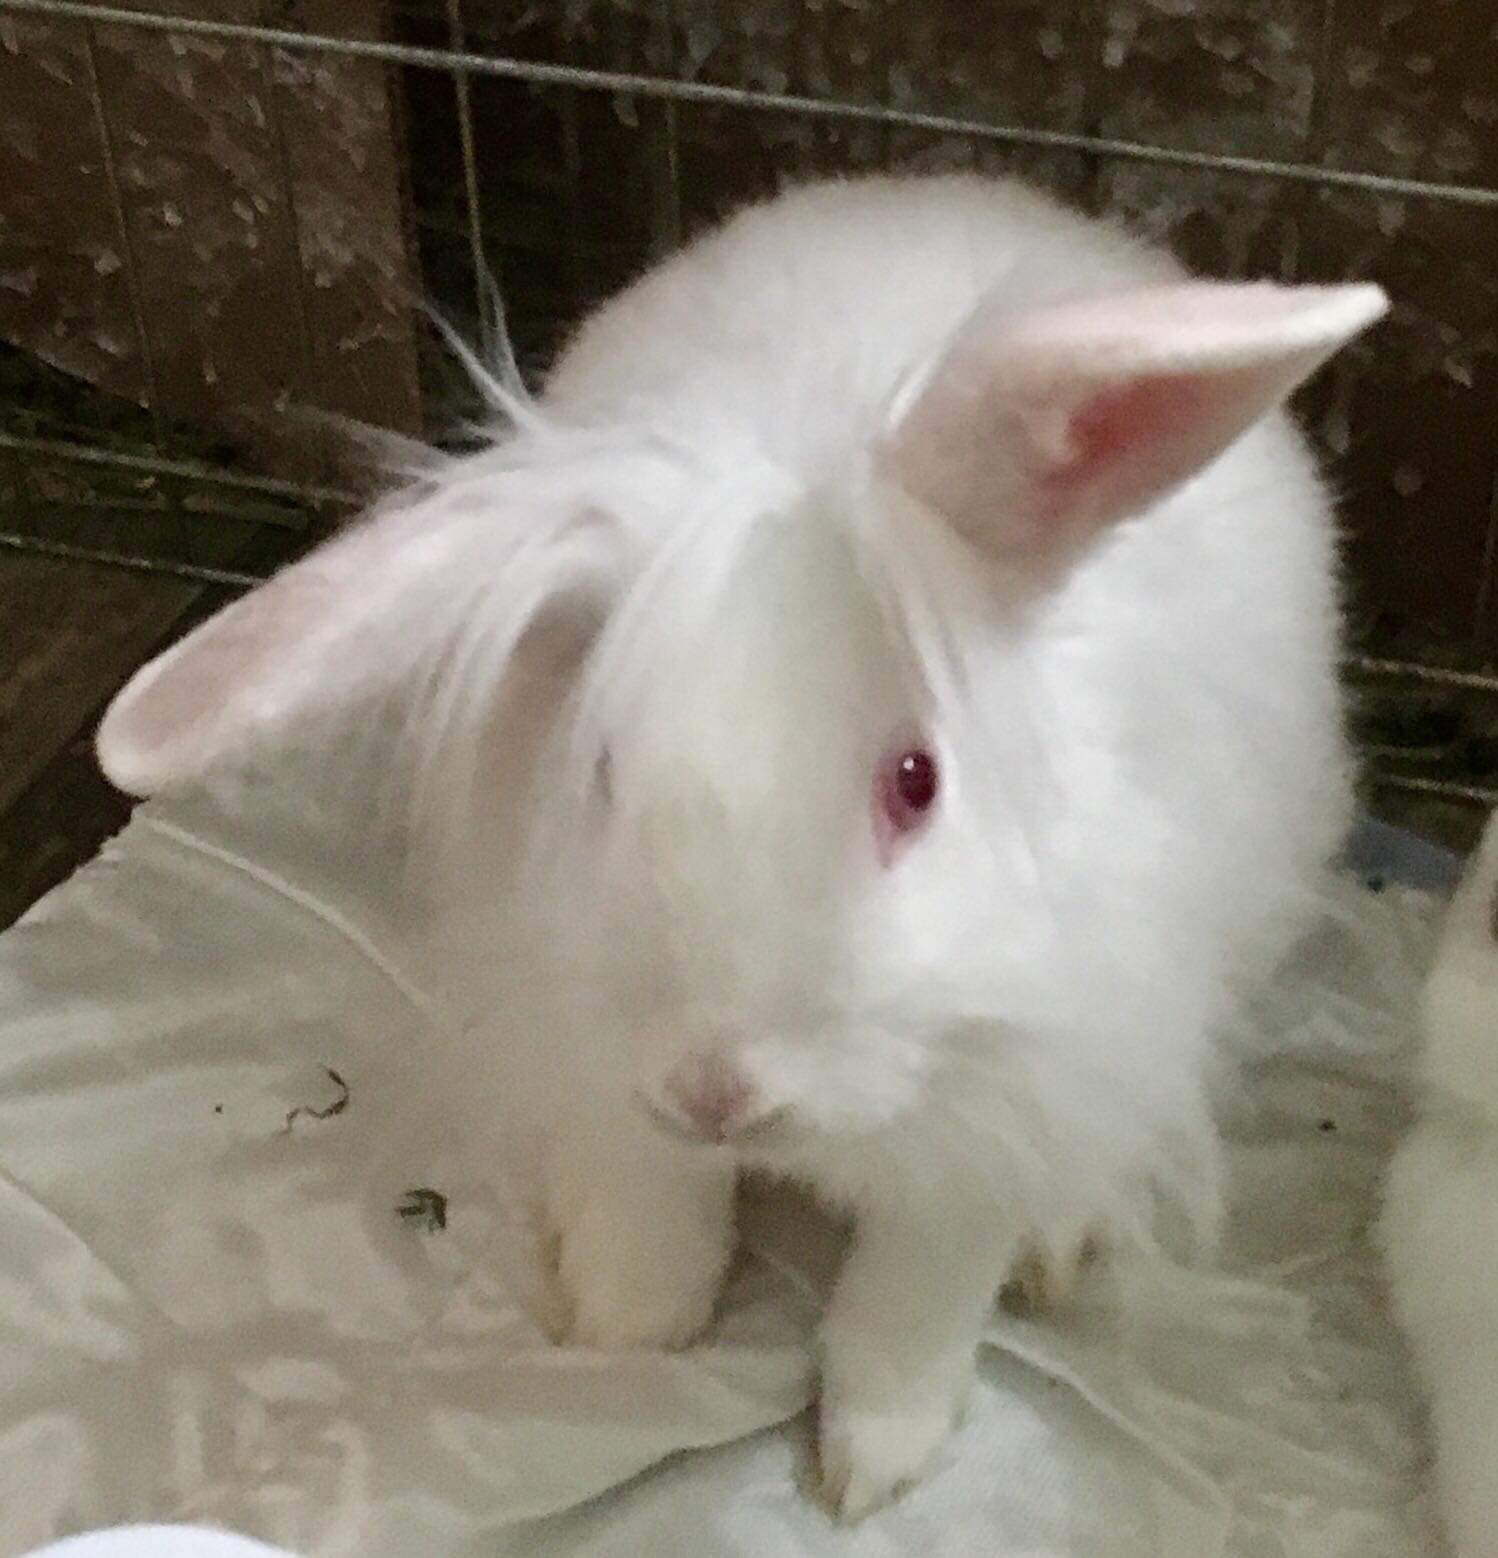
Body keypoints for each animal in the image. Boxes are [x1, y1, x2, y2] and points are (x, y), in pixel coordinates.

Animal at [93, 173, 1386, 1520]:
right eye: (600, 768)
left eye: (916, 784)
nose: (714, 1091)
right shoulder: (591, 1053)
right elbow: (651, 1208)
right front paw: (626, 1328)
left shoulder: (995, 1111)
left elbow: (912, 1304)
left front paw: (869, 1470)